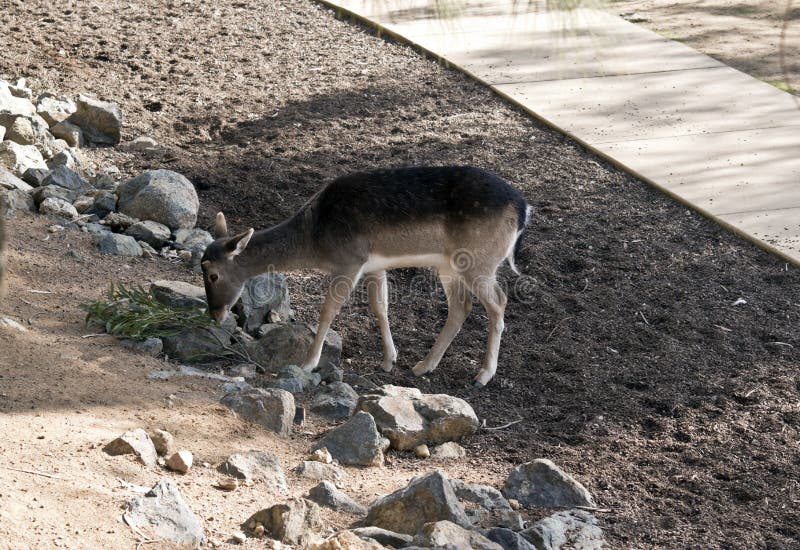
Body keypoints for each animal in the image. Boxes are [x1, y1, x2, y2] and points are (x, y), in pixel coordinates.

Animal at [200, 166, 530, 387]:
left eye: (213, 274)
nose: (214, 314)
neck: (315, 238)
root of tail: (524, 208)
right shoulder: (374, 265)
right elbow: (379, 306)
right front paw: (388, 360)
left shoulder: (350, 261)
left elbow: (328, 310)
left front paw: (308, 363)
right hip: (449, 266)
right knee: (461, 307)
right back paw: (424, 366)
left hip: (478, 261)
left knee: (498, 302)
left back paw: (483, 375)